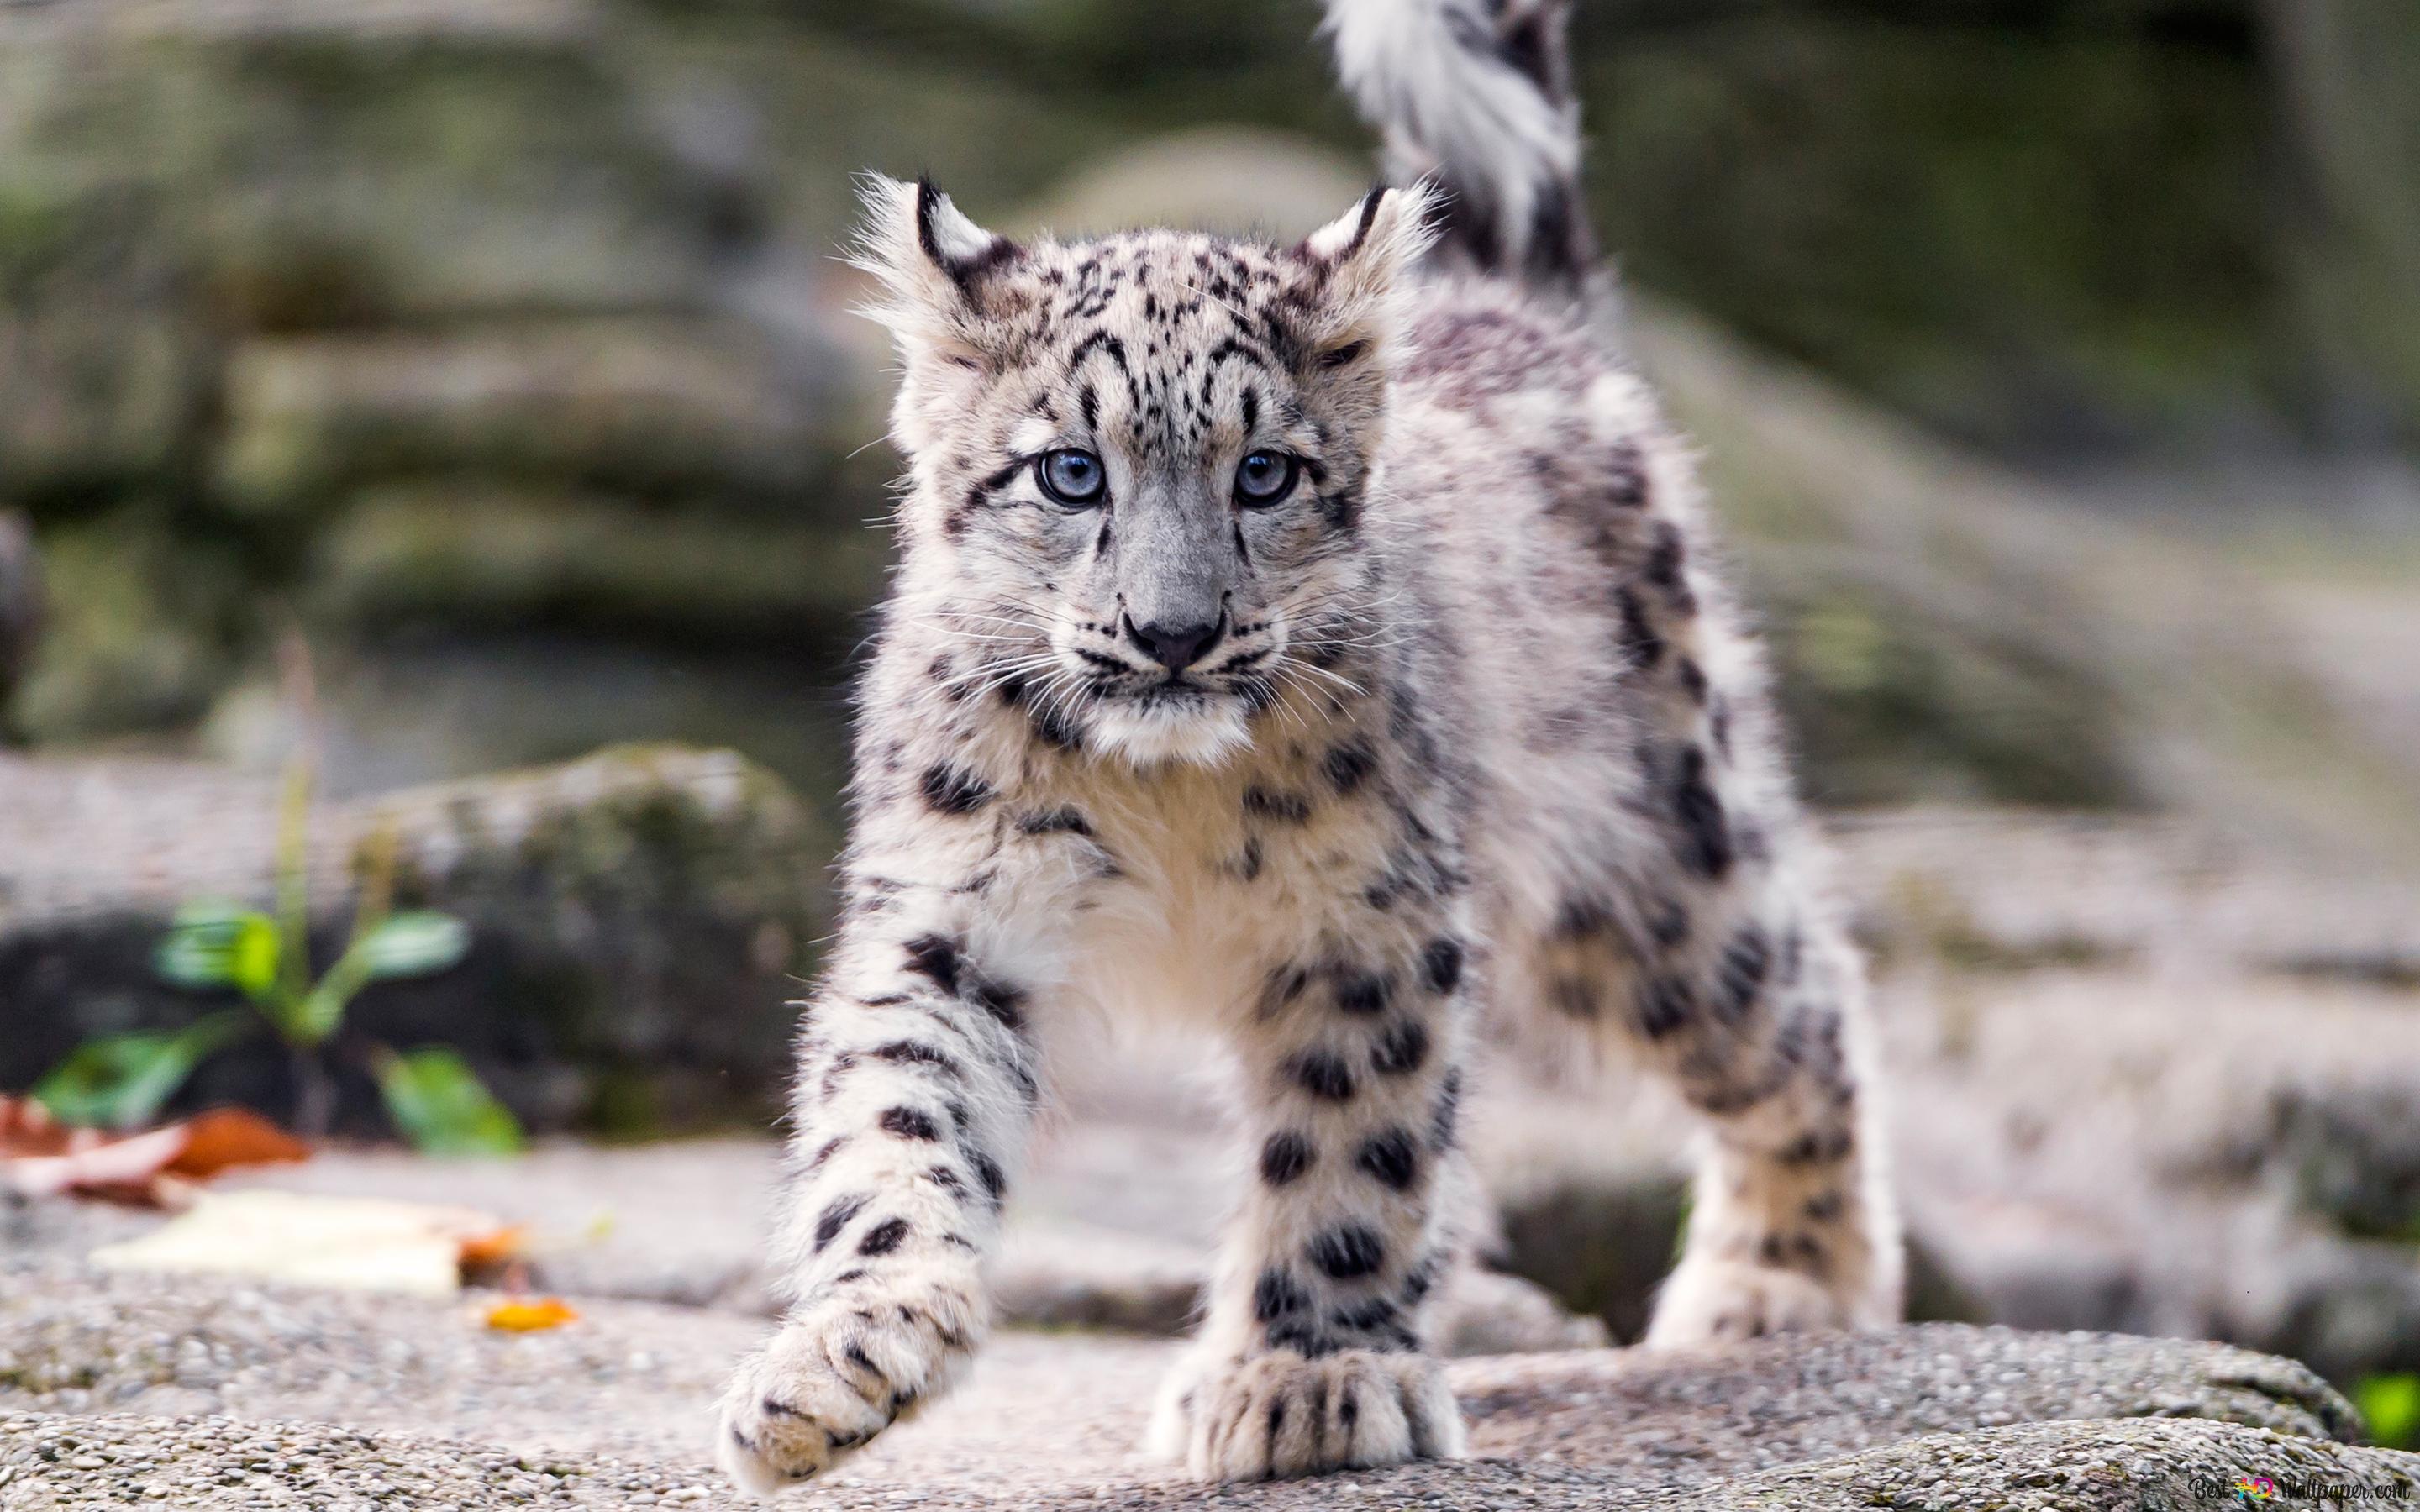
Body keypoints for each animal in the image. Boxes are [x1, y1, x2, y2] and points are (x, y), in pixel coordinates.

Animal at [717, 0, 1902, 1493]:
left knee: (1801, 1006)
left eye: (1264, 472)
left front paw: (1311, 1379)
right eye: (1070, 472)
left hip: (1647, 880)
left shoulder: (1366, 920)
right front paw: (843, 1360)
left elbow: (1350, 1142)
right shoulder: (955, 907)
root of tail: (1515, 315)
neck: (1163, 799)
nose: (1171, 632)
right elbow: (898, 1121)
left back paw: (1781, 1280)